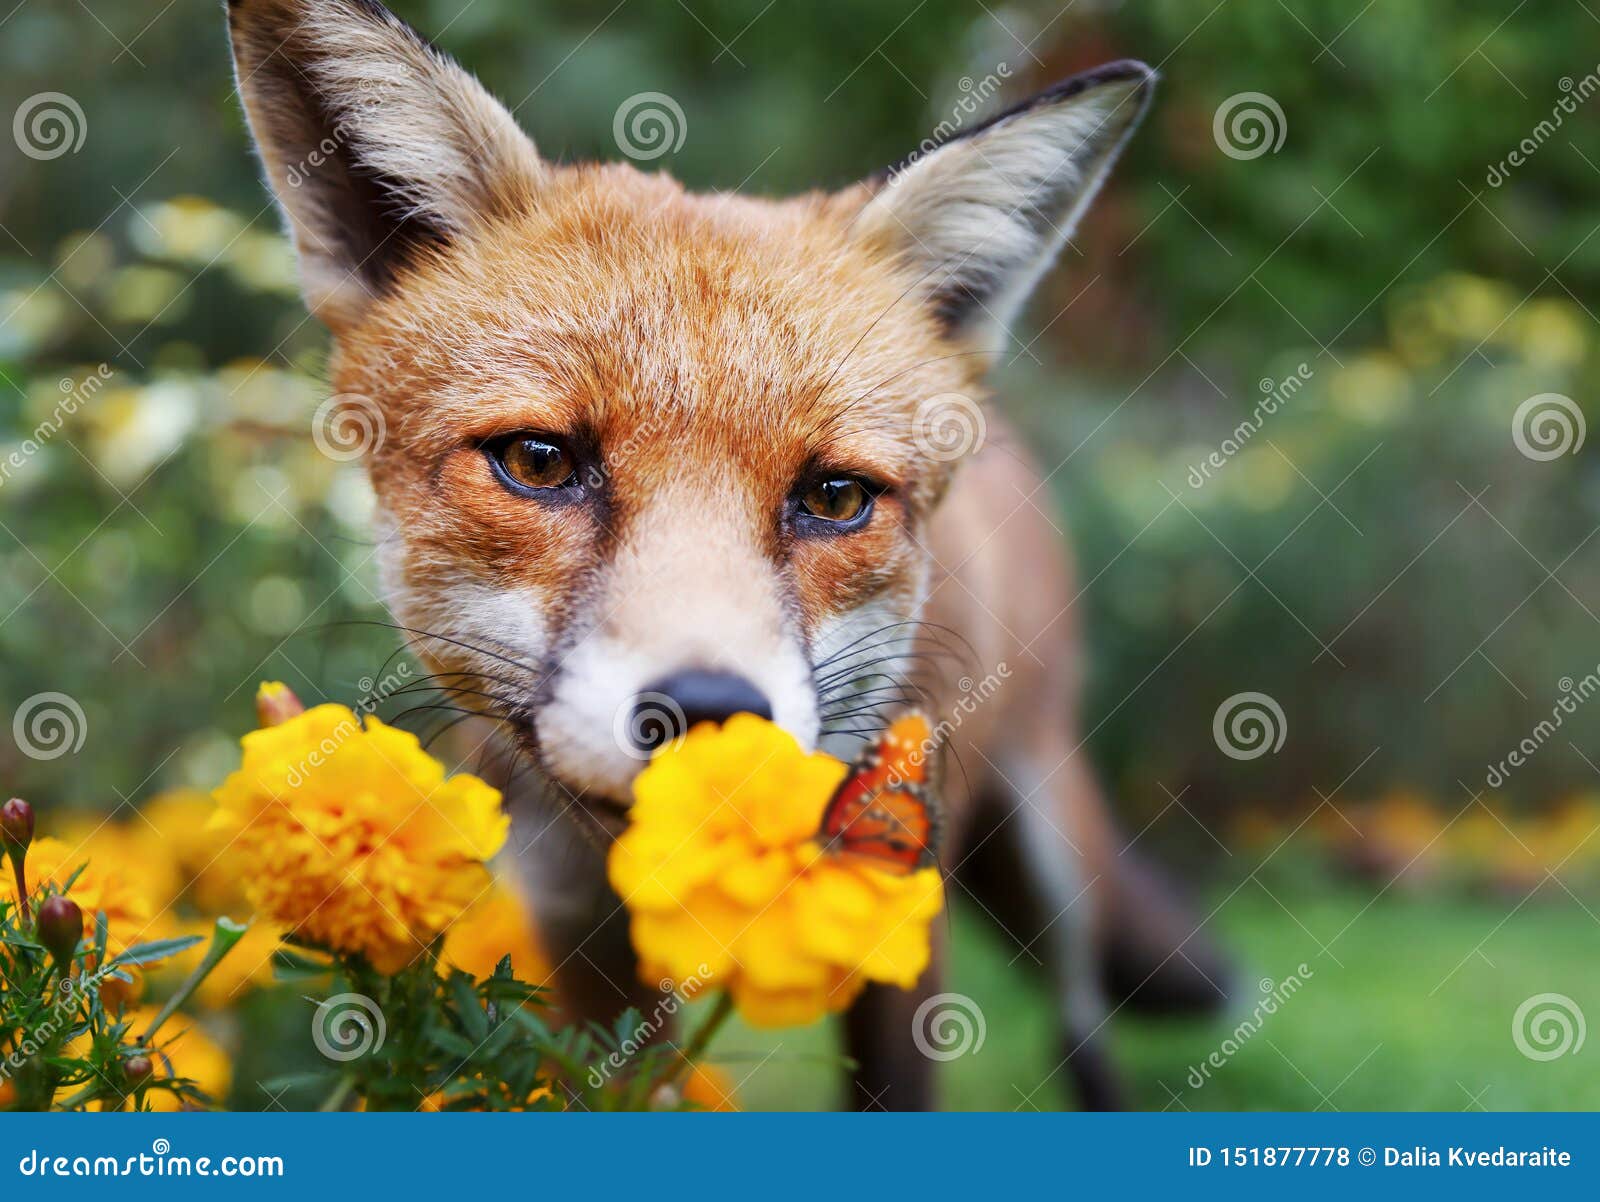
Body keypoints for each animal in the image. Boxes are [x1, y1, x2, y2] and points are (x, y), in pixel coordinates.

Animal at [225, 0, 1230, 1110]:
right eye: (538, 461)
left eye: (834, 497)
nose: (706, 714)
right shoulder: (576, 939)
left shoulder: (897, 913)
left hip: (1047, 836)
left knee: (1079, 1008)